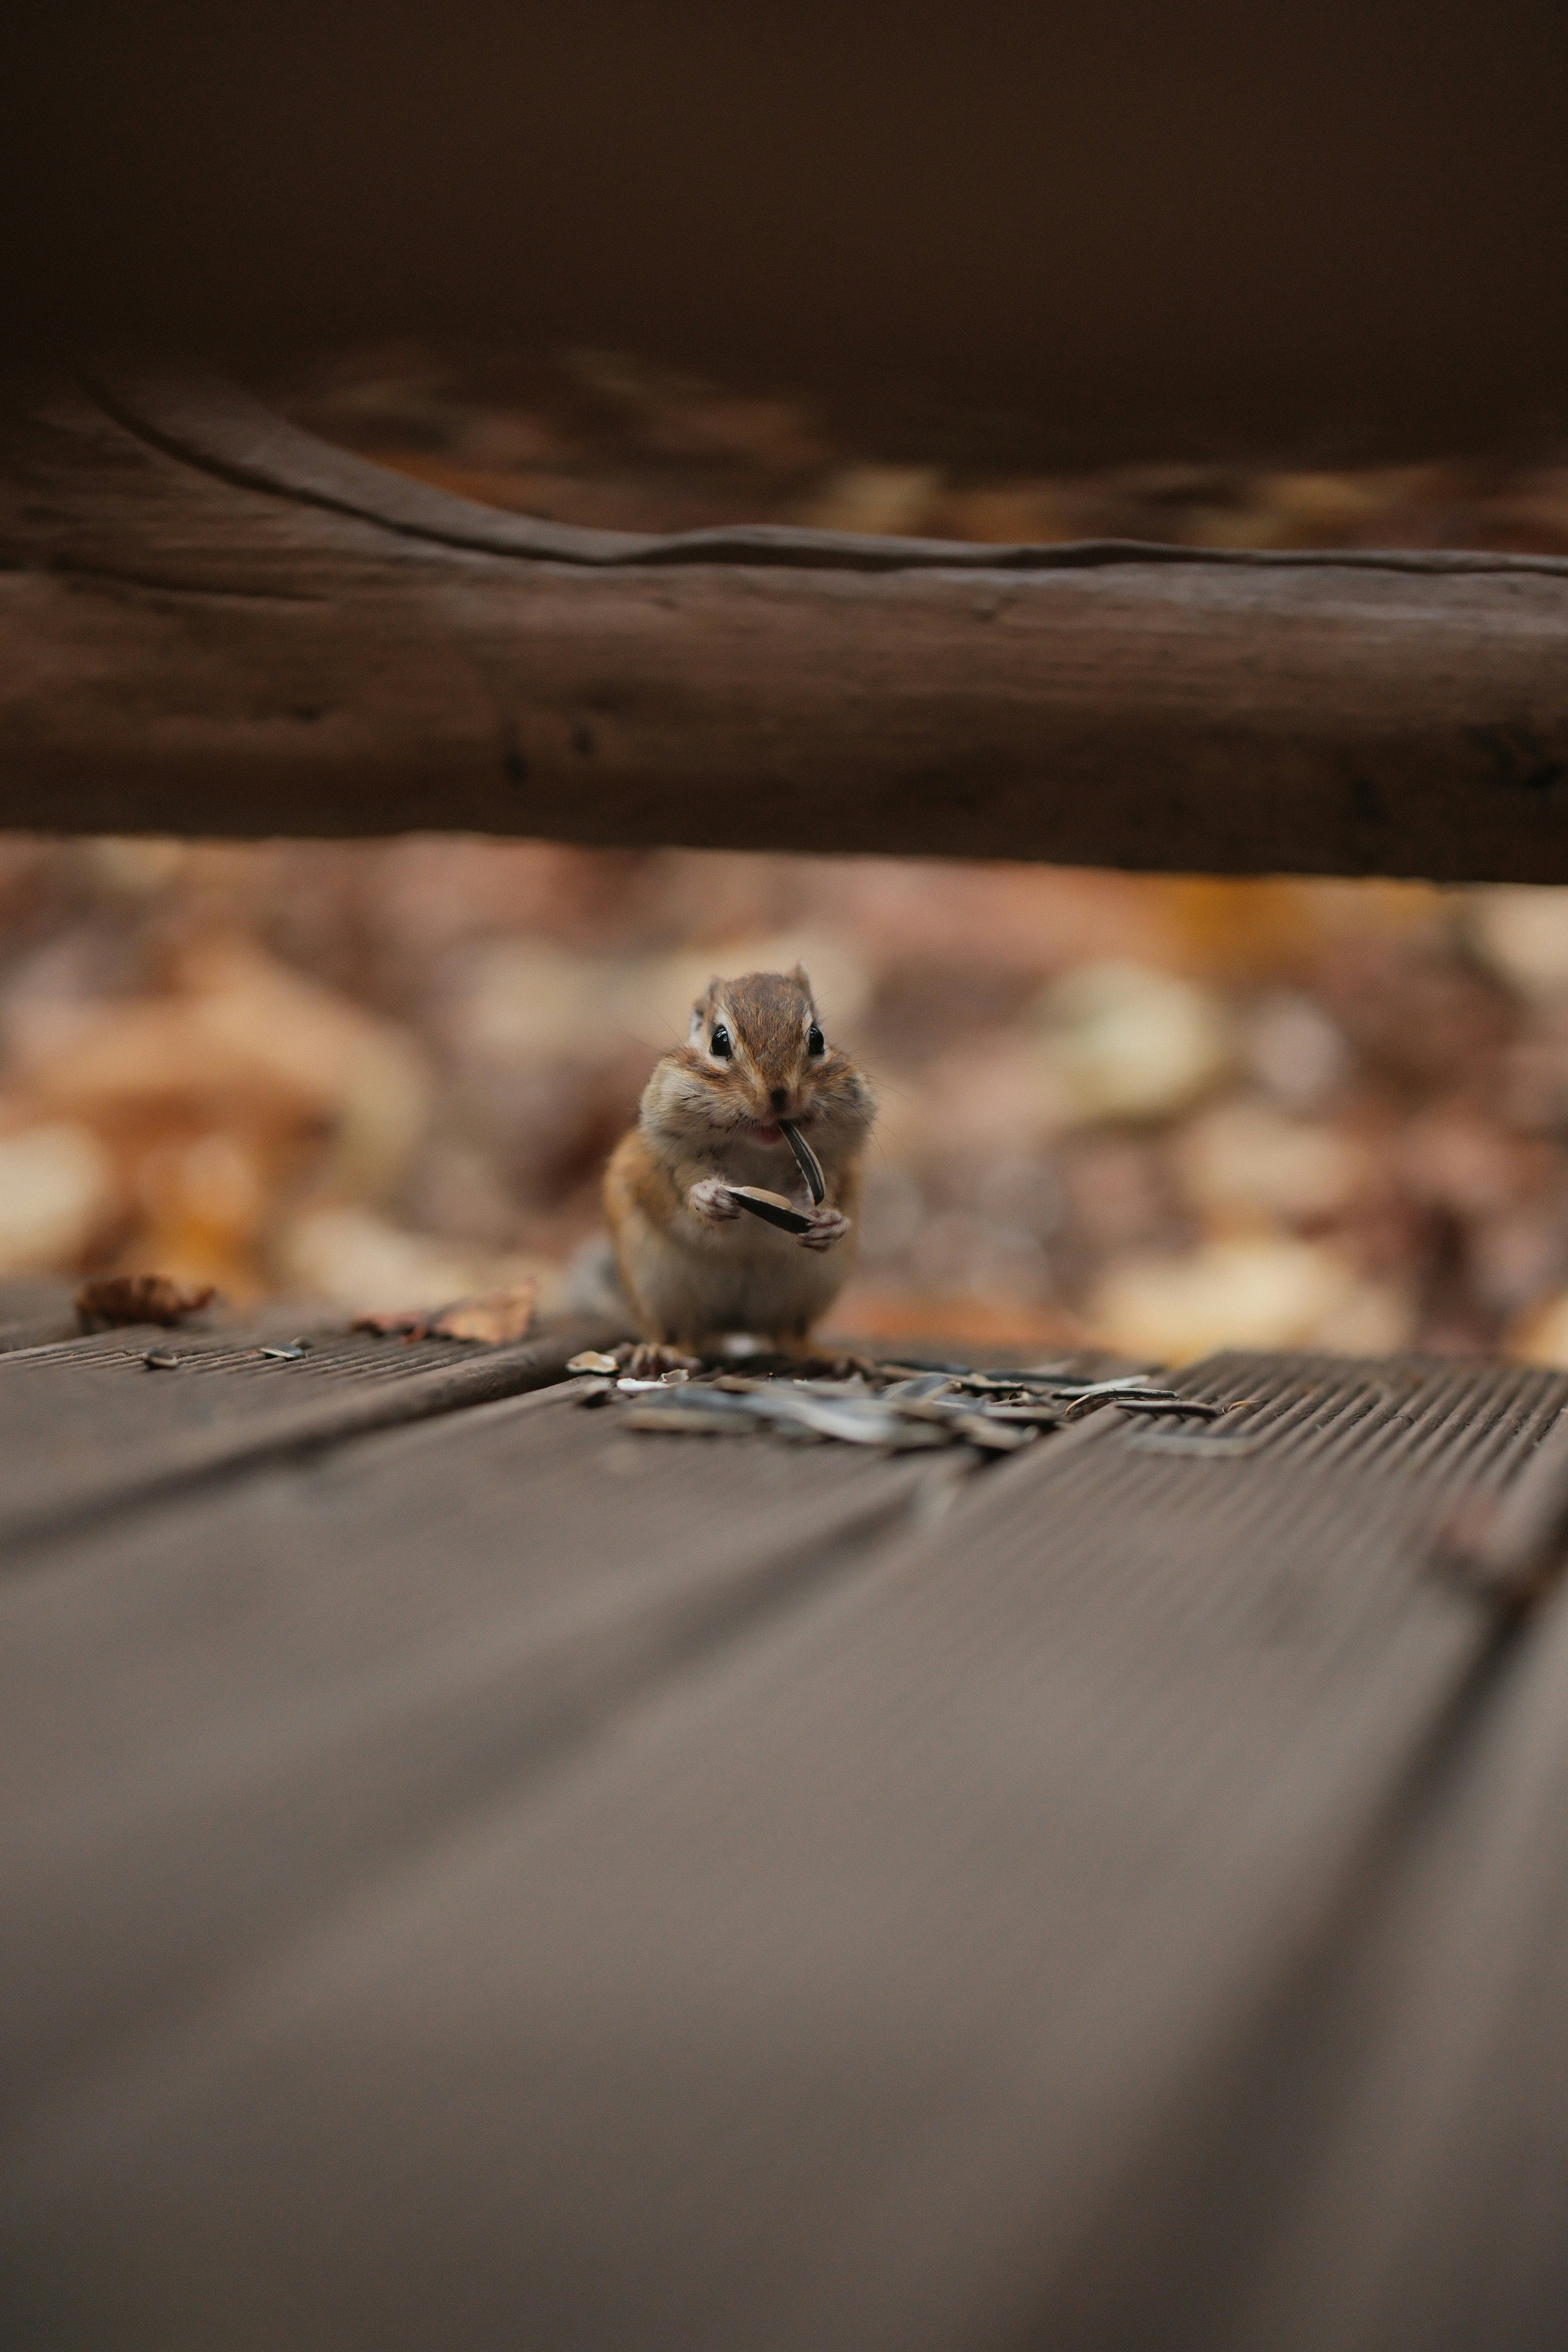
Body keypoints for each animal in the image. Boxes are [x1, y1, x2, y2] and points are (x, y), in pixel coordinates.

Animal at [604, 965, 877, 1358]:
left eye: (817, 1039)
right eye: (719, 1041)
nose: (778, 1094)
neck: (758, 1149)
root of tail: (734, 1326)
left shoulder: (831, 1165)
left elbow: (821, 1194)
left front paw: (831, 1223)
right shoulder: (673, 1161)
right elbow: (685, 1188)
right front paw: (708, 1198)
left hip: (811, 1289)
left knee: (788, 1335)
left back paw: (833, 1357)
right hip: (658, 1291)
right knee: (684, 1336)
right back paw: (661, 1354)